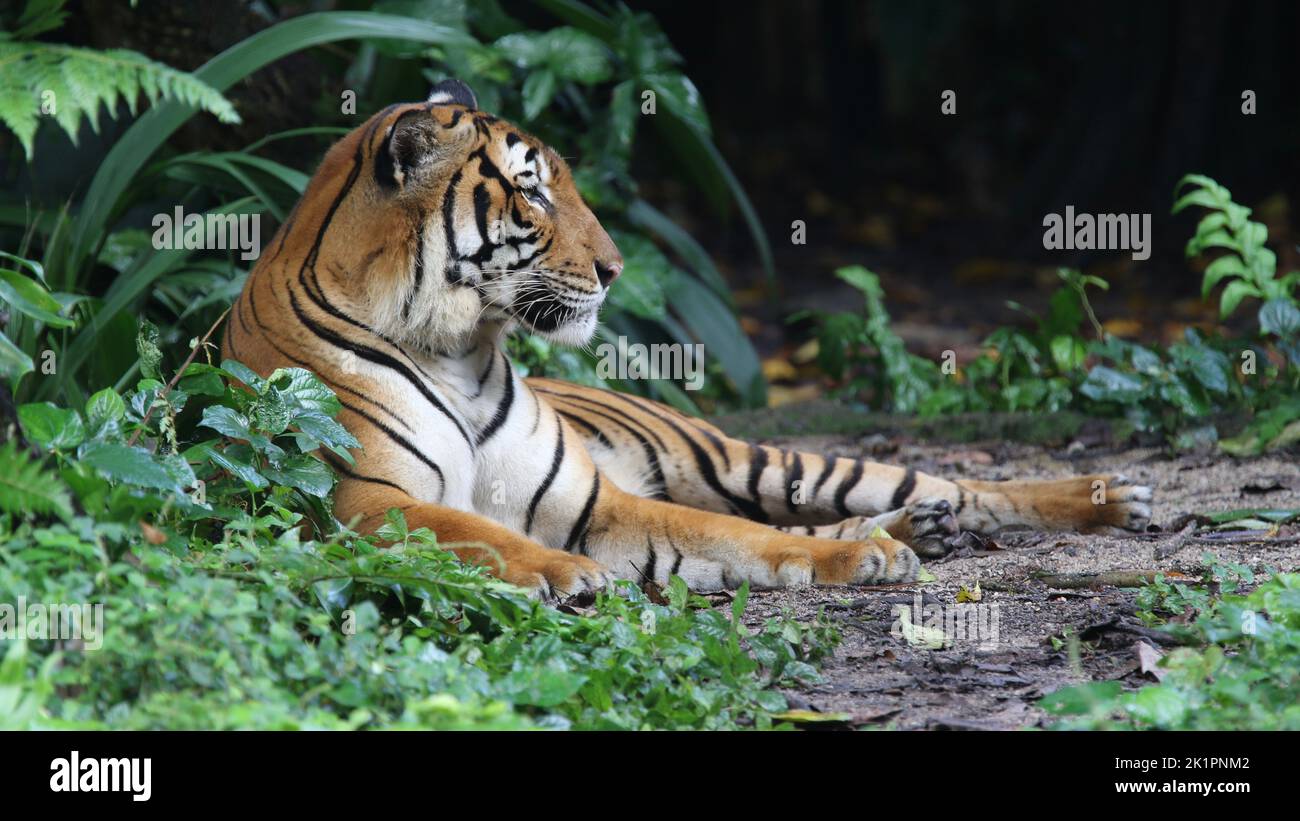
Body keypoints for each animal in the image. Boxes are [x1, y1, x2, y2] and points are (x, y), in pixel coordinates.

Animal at [222, 79, 1154, 598]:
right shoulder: (360, 502)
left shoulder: (593, 501)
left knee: (949, 482)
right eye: (532, 193)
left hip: (753, 456)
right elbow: (479, 531)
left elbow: (735, 535)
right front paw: (562, 573)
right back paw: (908, 534)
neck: (460, 347)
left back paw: (1109, 496)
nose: (615, 268)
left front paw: (862, 563)